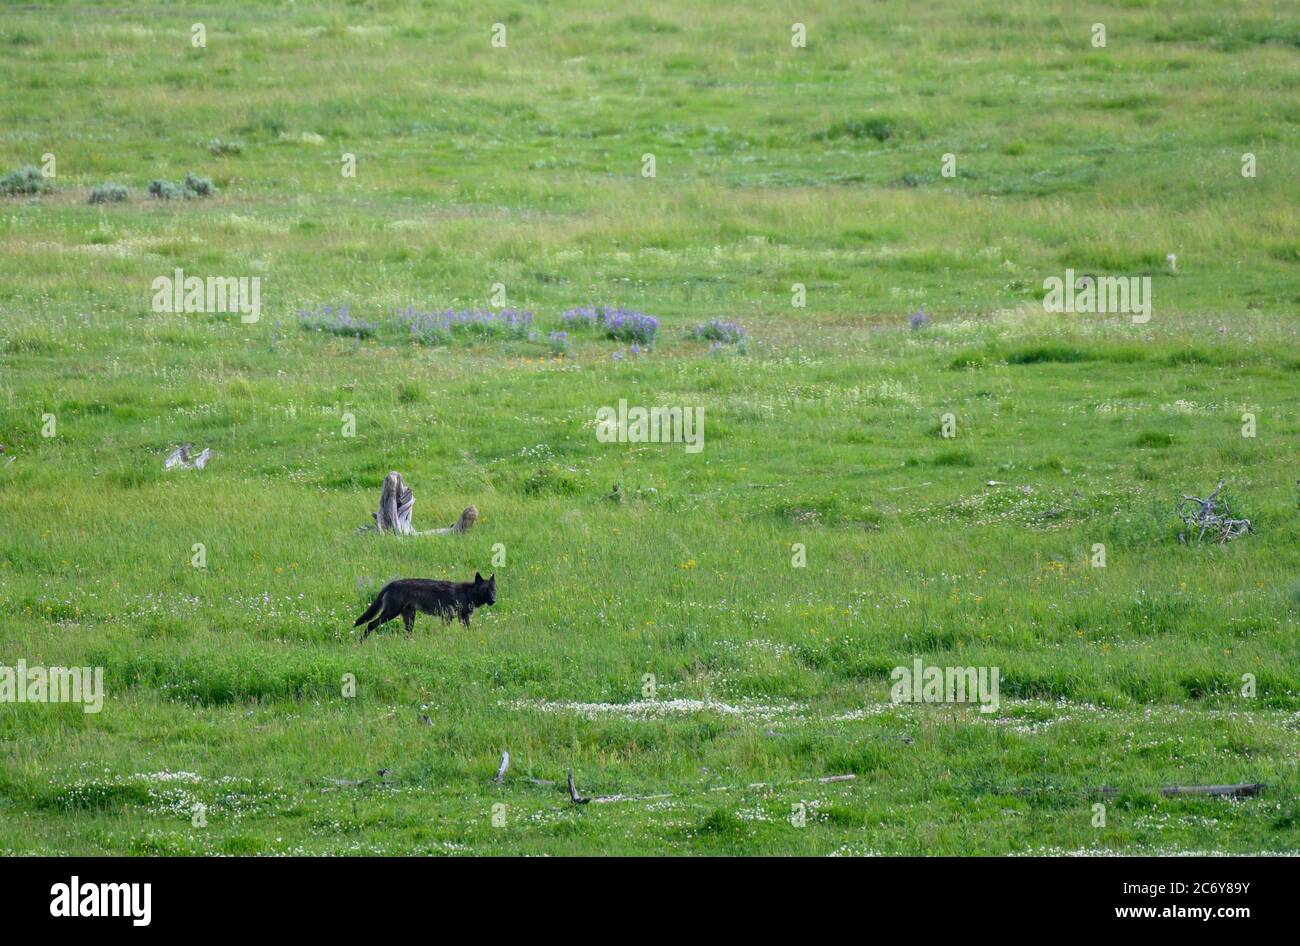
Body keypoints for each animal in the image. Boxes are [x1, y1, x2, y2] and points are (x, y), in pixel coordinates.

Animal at [353, 573, 496, 641]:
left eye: (493, 590)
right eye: (486, 590)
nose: (494, 601)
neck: (467, 593)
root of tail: (390, 584)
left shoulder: (461, 617)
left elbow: (467, 630)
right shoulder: (449, 617)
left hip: (409, 618)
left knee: (407, 634)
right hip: (390, 614)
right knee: (370, 624)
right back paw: (361, 642)